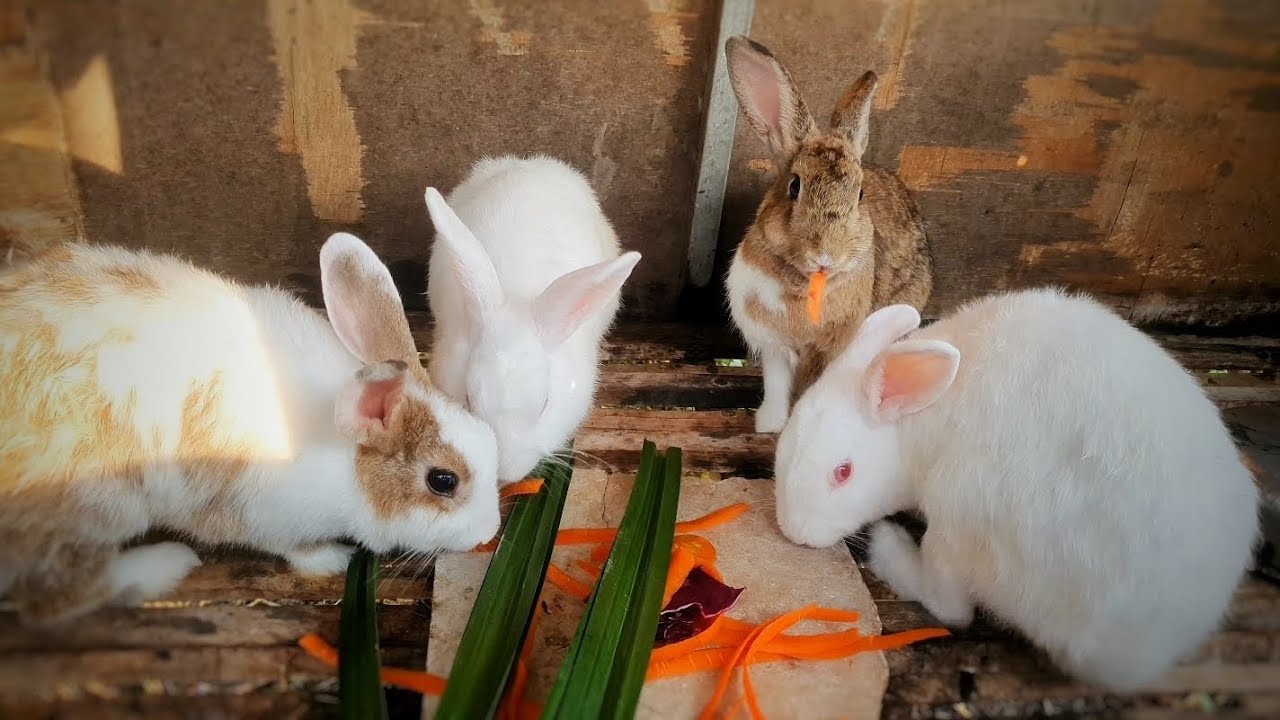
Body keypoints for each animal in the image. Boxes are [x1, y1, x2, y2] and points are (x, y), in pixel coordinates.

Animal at [0, 233, 501, 626]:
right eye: (443, 480)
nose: (487, 534)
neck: (345, 456)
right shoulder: (260, 514)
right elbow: (289, 547)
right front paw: (330, 559)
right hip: (94, 508)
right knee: (56, 598)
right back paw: (165, 565)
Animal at [723, 36, 933, 433]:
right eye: (794, 186)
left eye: (860, 194)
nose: (826, 255)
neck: (804, 283)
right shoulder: (774, 346)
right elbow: (777, 385)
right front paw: (771, 424)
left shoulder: (829, 347)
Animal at [773, 288, 1260, 691]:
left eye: (843, 472)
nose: (794, 533)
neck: (919, 422)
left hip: (959, 515)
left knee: (950, 605)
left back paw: (888, 547)